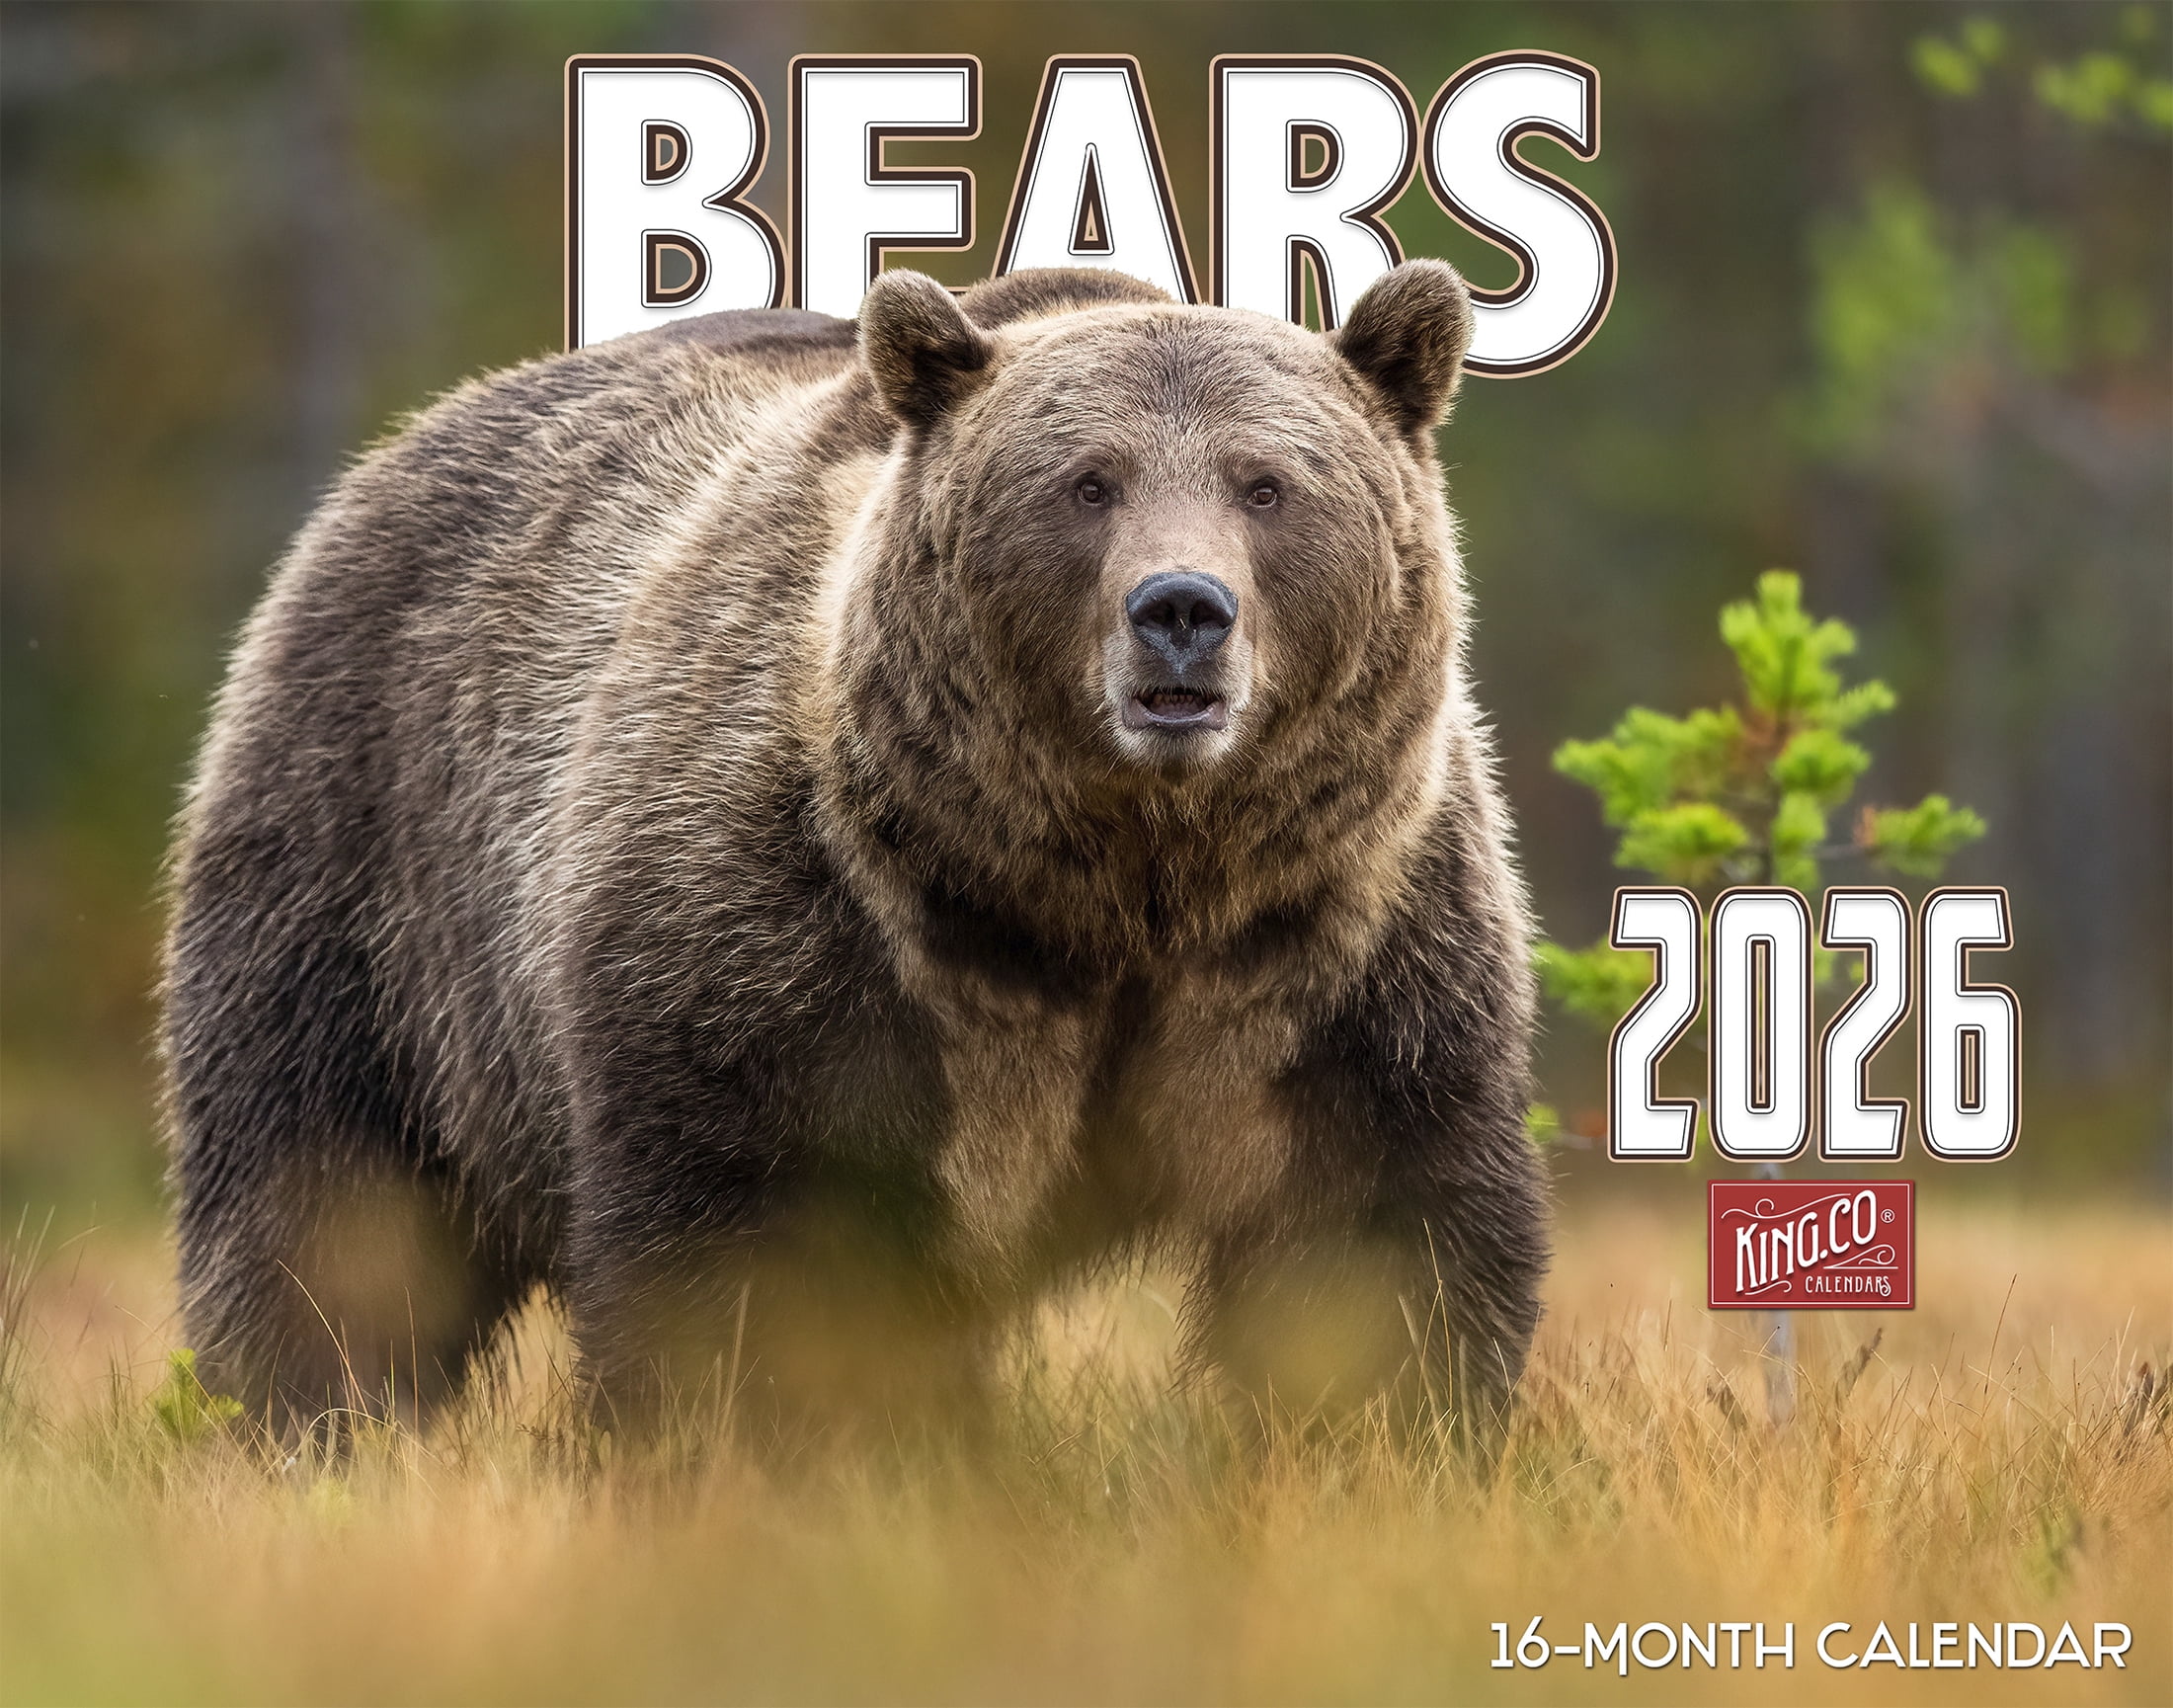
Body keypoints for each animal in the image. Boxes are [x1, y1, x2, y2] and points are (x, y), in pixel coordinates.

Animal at [160, 260, 1547, 1451]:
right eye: (1087, 482)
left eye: (1266, 484)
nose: (1180, 611)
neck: (1110, 886)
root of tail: (395, 451)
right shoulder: (808, 924)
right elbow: (762, 1245)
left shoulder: (1332, 943)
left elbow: (1372, 1232)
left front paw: (1381, 1437)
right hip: (368, 866)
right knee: (327, 1197)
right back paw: (299, 1419)